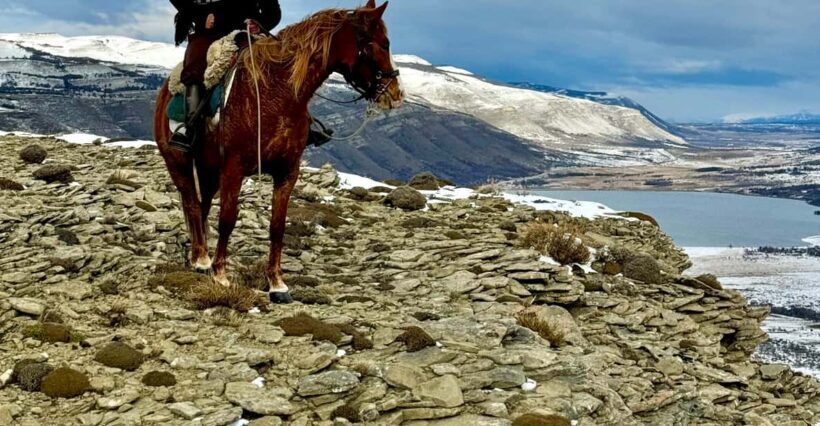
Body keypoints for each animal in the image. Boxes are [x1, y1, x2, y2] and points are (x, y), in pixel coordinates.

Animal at [153, 0, 404, 303]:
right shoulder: (234, 168)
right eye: (382, 44)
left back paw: (197, 257)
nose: (395, 94)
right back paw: (202, 259)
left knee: (201, 207)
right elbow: (227, 219)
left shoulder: (287, 172)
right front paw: (220, 274)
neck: (277, 92)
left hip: (208, 167)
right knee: (191, 202)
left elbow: (277, 226)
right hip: (179, 162)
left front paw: (276, 284)